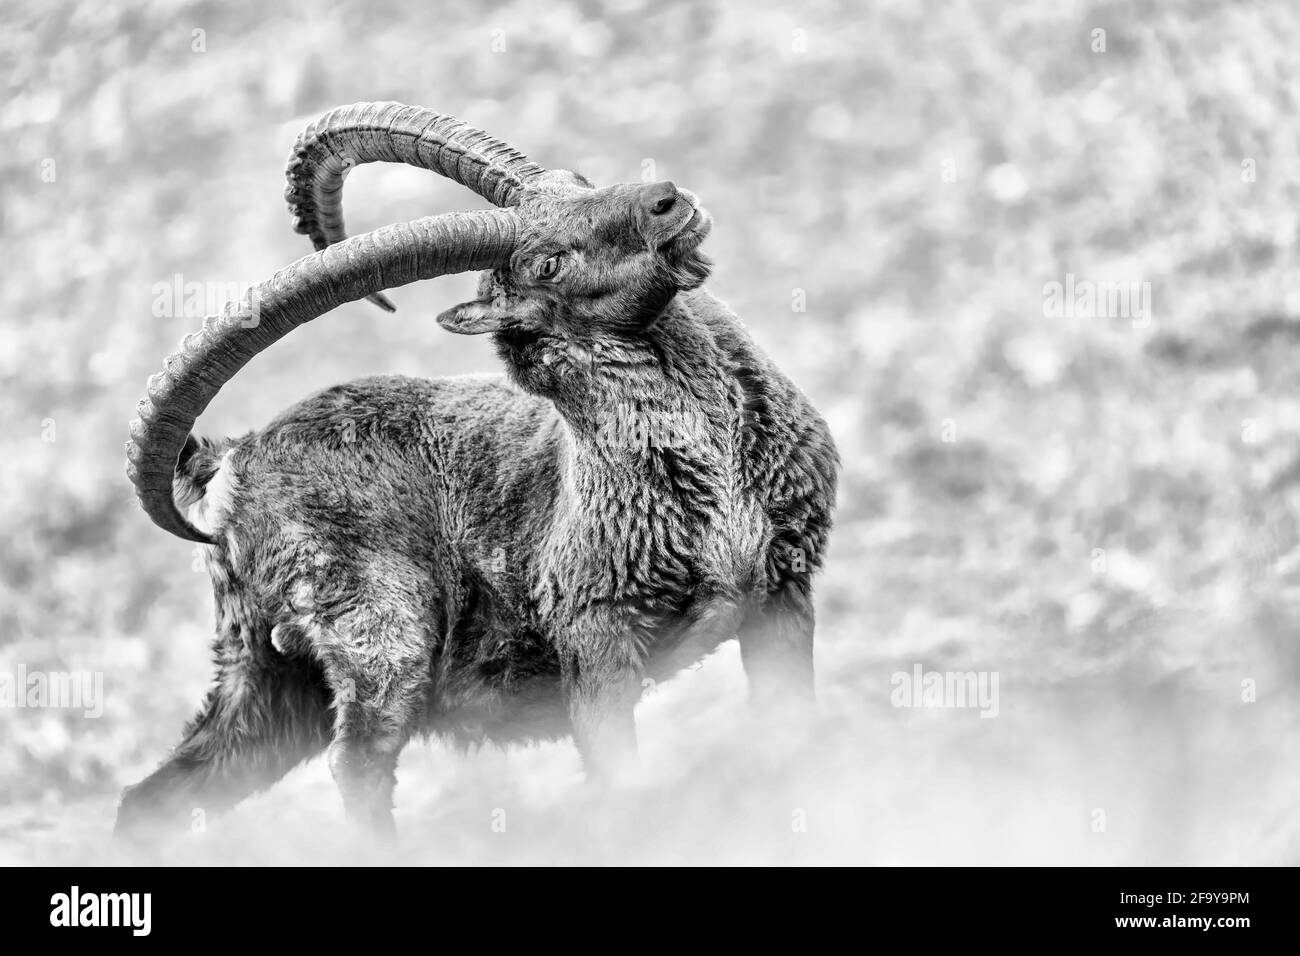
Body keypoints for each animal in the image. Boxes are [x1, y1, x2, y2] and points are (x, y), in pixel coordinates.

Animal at [116, 103, 839, 838]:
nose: (666, 199)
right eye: (547, 262)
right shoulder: (597, 640)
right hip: (382, 644)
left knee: (160, 796)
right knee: (358, 767)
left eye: (576, 180)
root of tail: (232, 467)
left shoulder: (782, 591)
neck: (712, 480)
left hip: (267, 683)